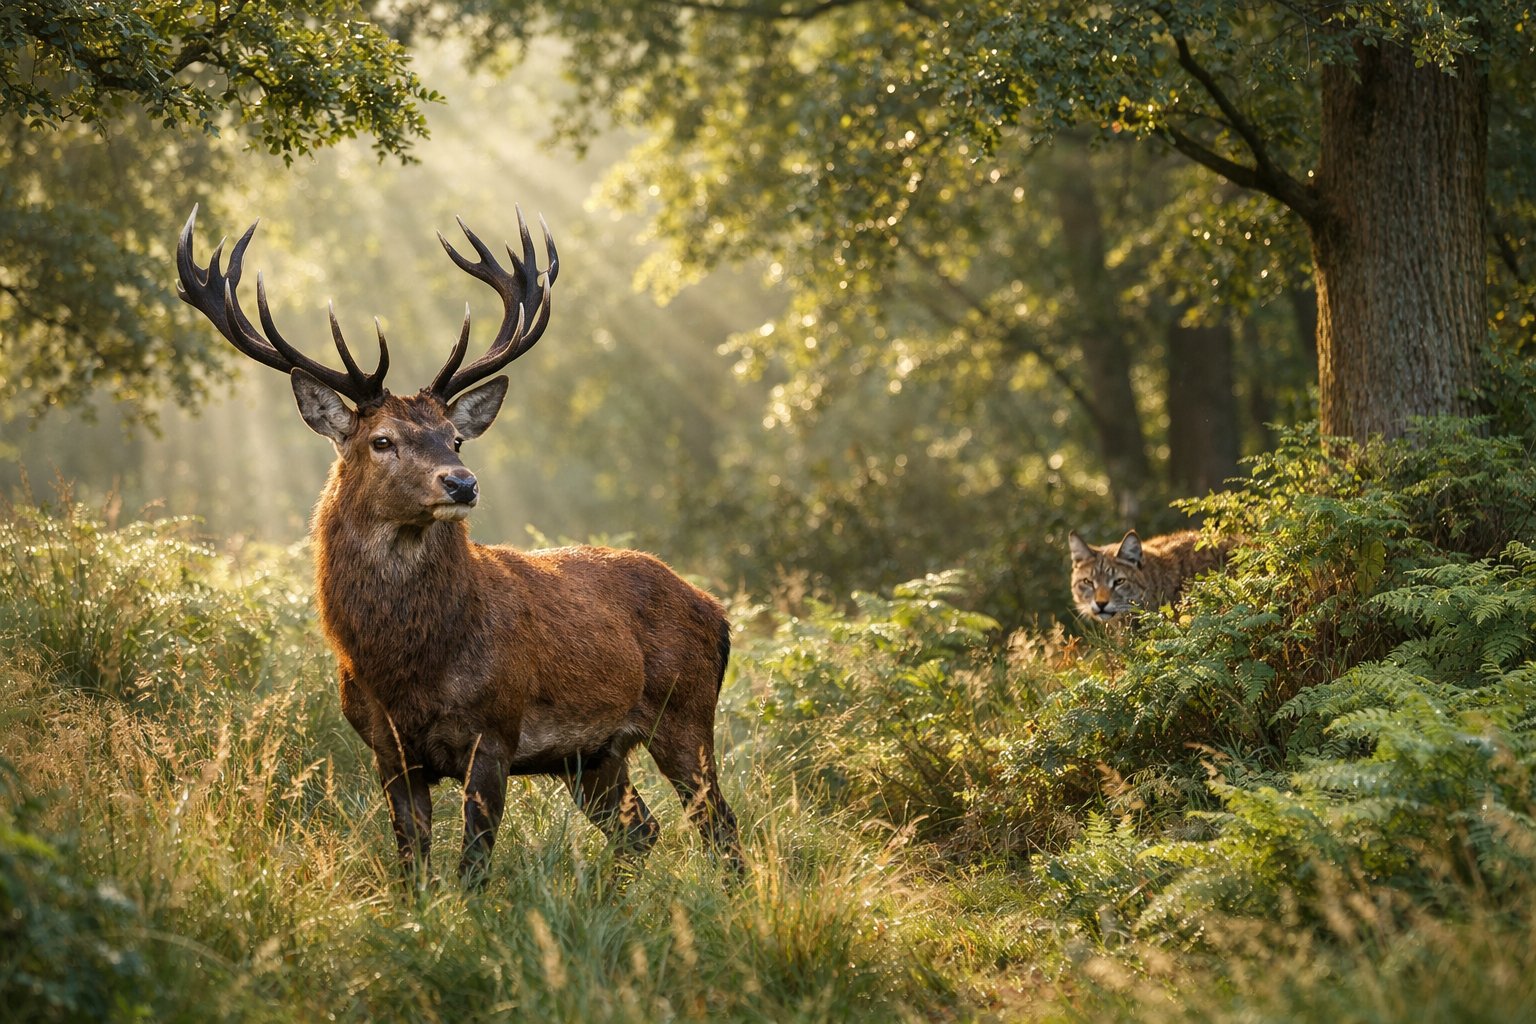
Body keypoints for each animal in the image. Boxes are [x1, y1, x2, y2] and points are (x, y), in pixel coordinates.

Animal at [175, 205, 741, 887]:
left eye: (455, 438)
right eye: (382, 441)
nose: (462, 483)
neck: (406, 667)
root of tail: (718, 613)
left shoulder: (494, 732)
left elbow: (472, 867)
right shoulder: (386, 748)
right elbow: (412, 865)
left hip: (686, 715)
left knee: (721, 830)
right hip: (593, 755)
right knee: (642, 830)